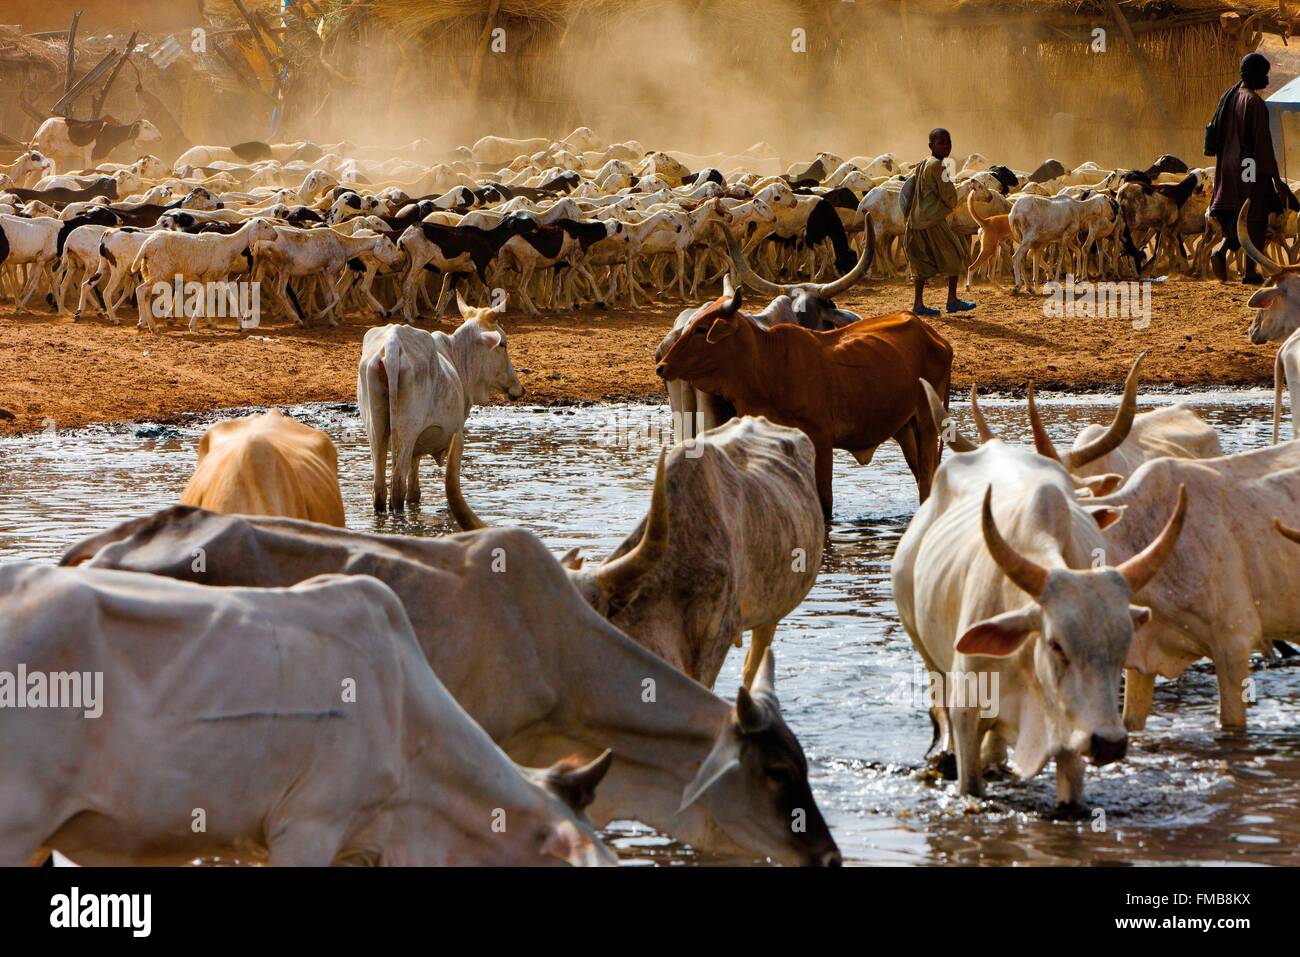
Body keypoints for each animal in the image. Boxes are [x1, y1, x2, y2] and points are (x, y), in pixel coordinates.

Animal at [31, 116, 163, 173]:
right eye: (146, 127)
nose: (160, 137)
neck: (108, 133)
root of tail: (42, 127)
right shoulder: (89, 157)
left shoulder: (103, 158)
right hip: (43, 151)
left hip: (57, 156)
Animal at [359, 294, 524, 511]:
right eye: (503, 344)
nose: (518, 388)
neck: (457, 357)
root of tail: (392, 345)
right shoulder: (457, 437)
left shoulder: (417, 447)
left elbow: (414, 491)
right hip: (408, 429)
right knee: (397, 486)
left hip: (376, 428)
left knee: (380, 488)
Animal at [655, 285, 953, 516]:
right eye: (691, 323)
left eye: (702, 328)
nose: (662, 365)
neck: (766, 364)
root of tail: (931, 334)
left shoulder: (821, 440)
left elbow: (824, 503)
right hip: (906, 428)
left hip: (927, 424)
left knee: (927, 479)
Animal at [891, 382, 1187, 807]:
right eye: (1056, 644)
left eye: (1123, 645)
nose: (1110, 744)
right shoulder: (967, 712)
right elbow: (969, 775)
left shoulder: (1075, 727)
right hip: (927, 651)